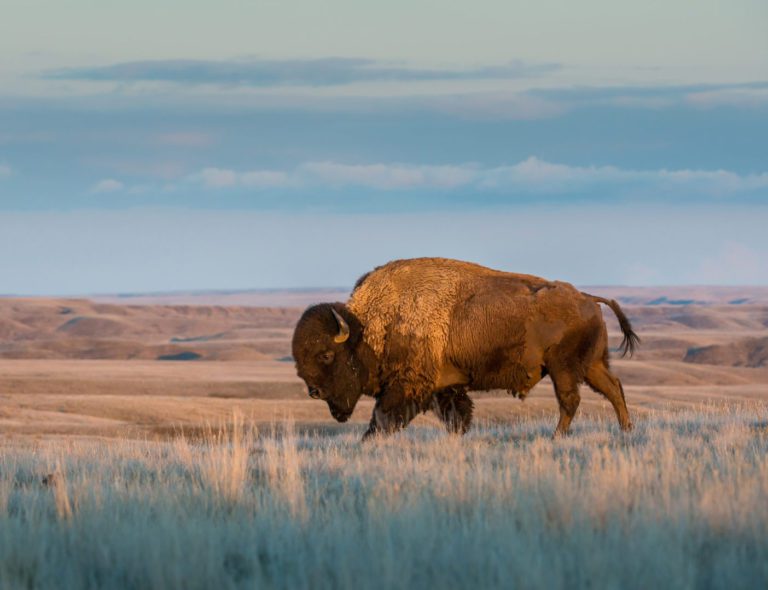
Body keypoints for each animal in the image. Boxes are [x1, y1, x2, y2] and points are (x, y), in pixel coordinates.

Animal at [292, 257, 639, 438]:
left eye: (326, 354)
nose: (314, 392)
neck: (370, 327)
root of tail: (588, 298)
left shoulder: (408, 386)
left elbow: (383, 417)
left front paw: (368, 441)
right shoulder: (447, 387)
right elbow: (456, 417)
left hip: (563, 367)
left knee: (571, 401)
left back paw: (557, 437)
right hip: (591, 365)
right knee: (613, 389)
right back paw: (626, 430)